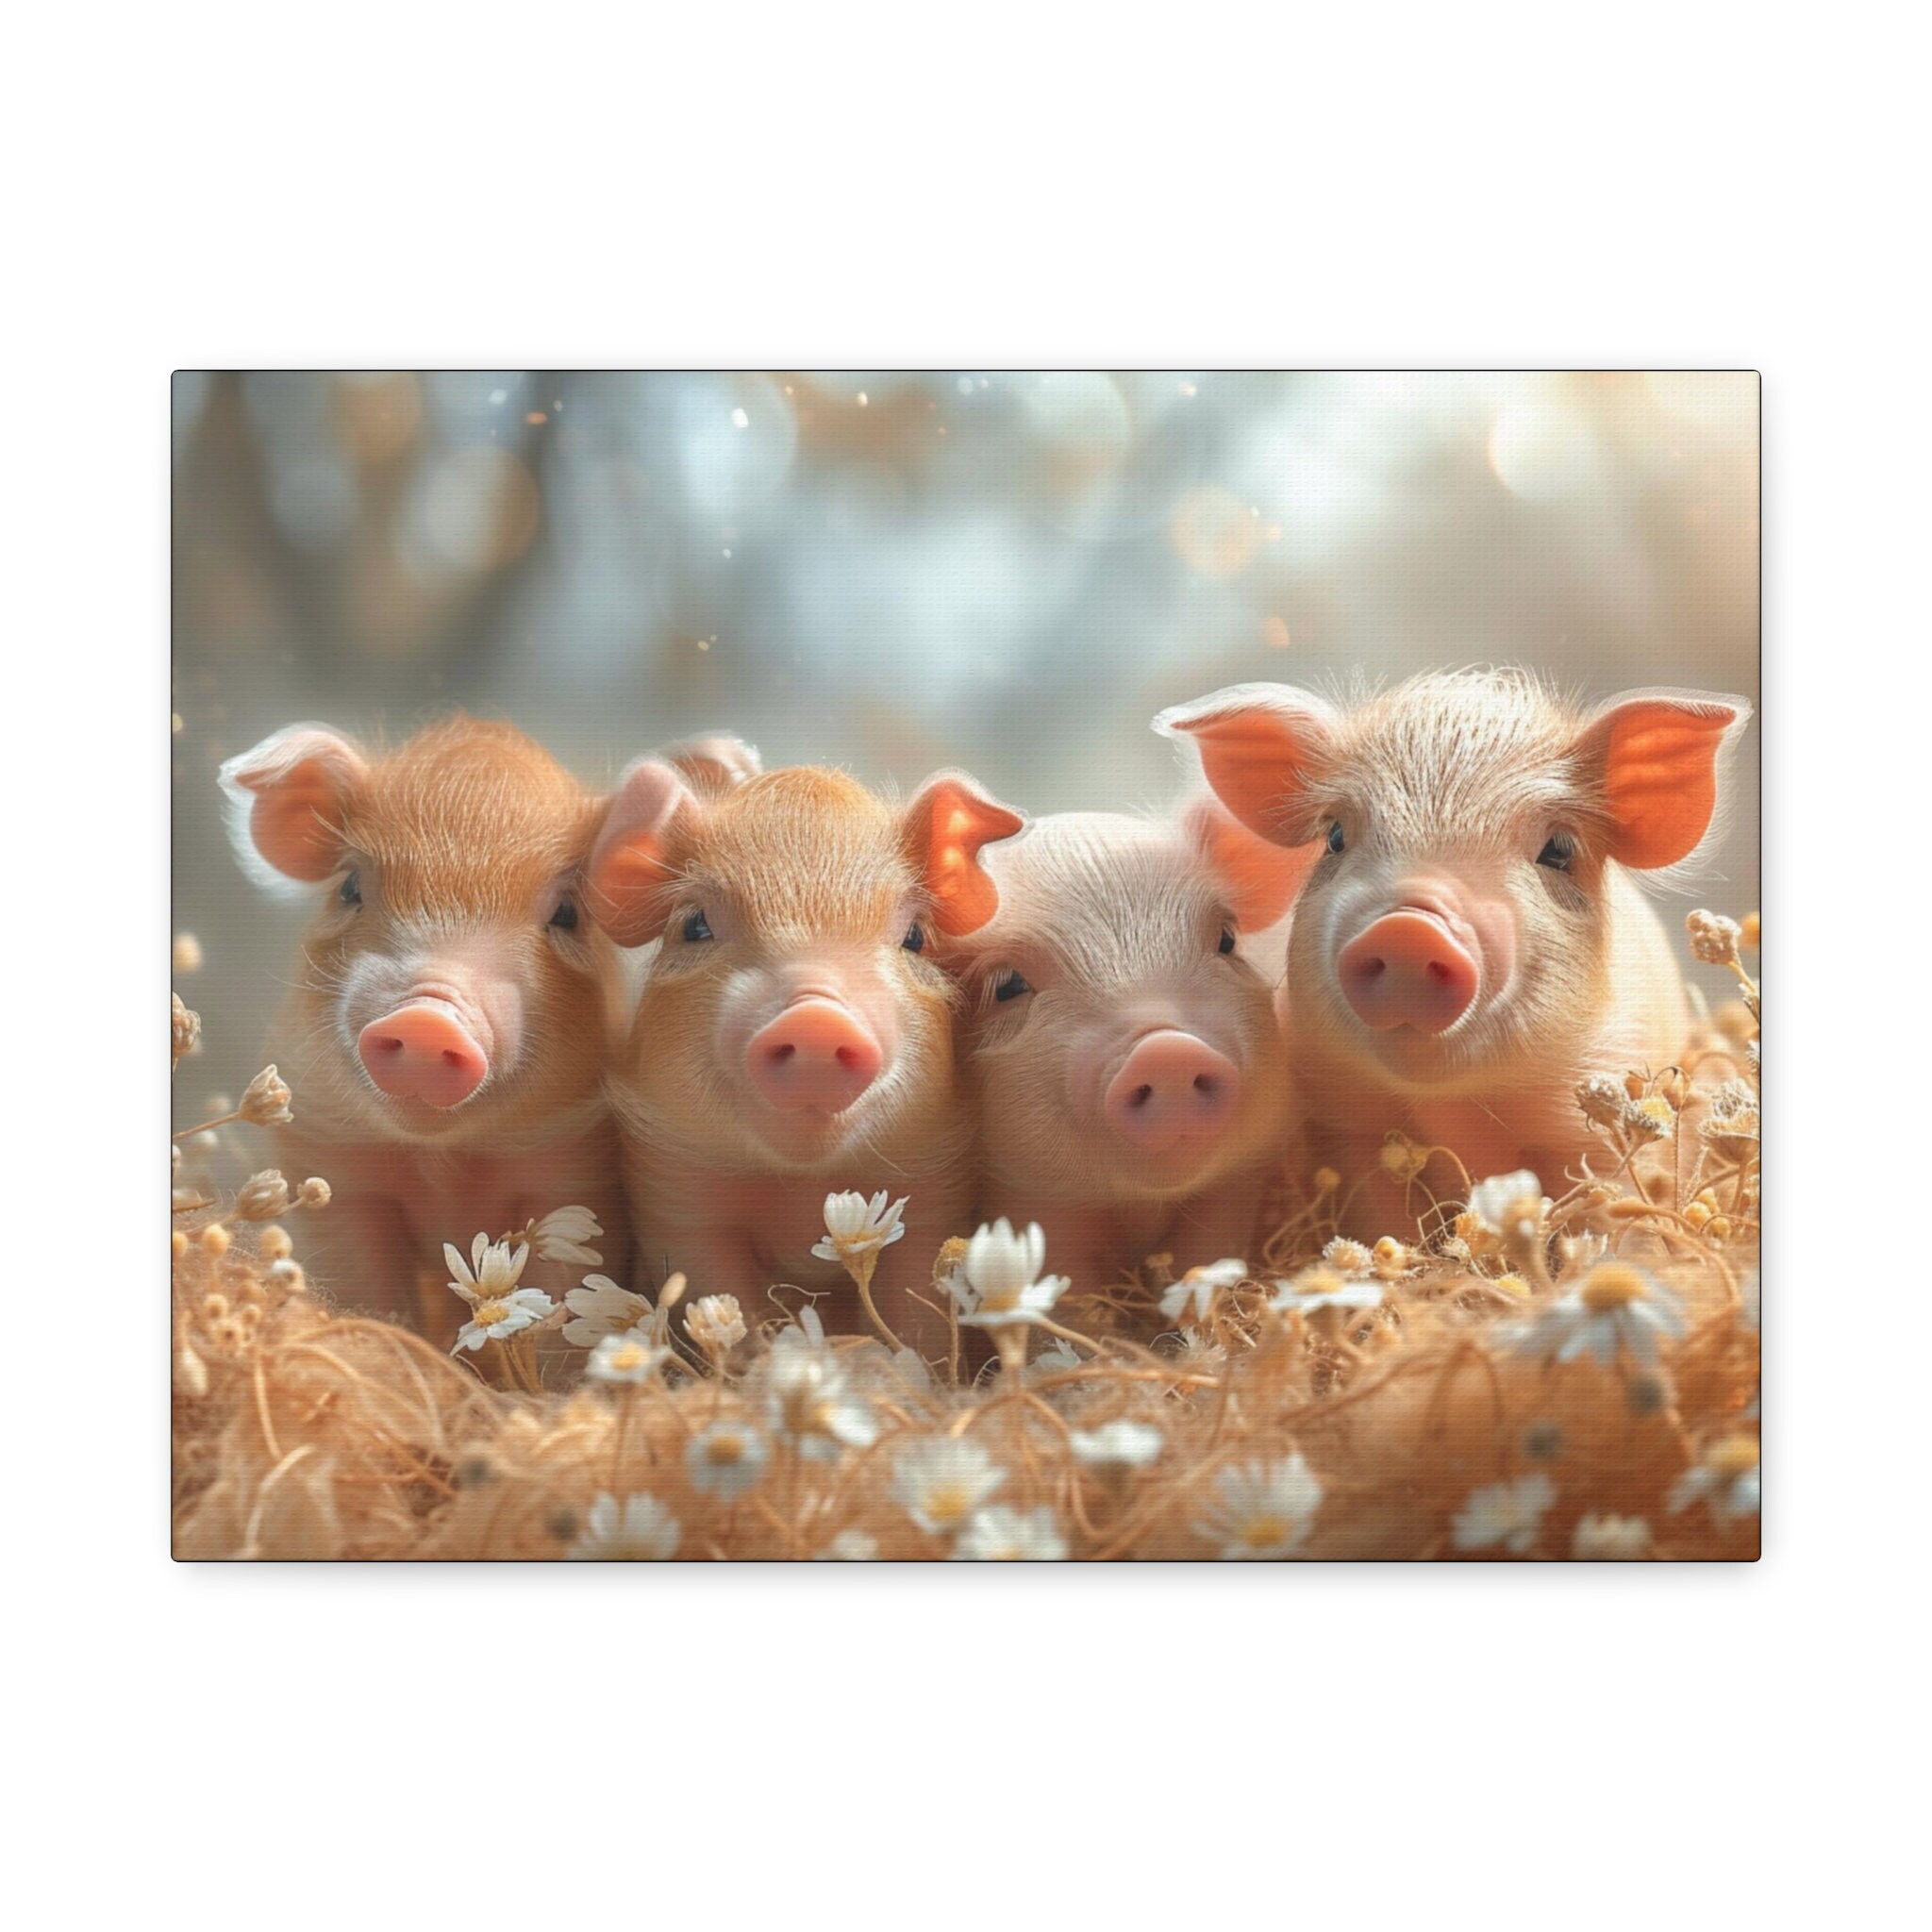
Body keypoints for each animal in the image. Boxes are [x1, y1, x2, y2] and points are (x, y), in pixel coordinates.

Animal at [218, 718, 752, 1341]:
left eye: (567, 913)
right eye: (349, 886)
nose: (428, 1017)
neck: (445, 1165)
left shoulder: (571, 1177)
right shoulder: (336, 1165)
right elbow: (365, 1293)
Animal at [584, 757, 1024, 1355]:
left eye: (915, 936)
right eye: (694, 924)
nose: (816, 1017)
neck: (804, 1185)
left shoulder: (934, 1184)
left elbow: (915, 1311)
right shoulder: (678, 1189)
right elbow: (722, 1298)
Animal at [947, 802, 1311, 1297]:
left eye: (1227, 939)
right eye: (1007, 985)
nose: (1167, 1051)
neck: (1143, 1204)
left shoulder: (1235, 1180)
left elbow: (1205, 1257)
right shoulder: (1035, 1197)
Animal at [1156, 670, 1753, 1234]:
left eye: (1558, 849)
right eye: (1335, 836)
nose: (1408, 927)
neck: (1457, 1107)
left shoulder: (1596, 1126)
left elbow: (1612, 1219)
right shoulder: (1351, 1125)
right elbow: (1384, 1224)